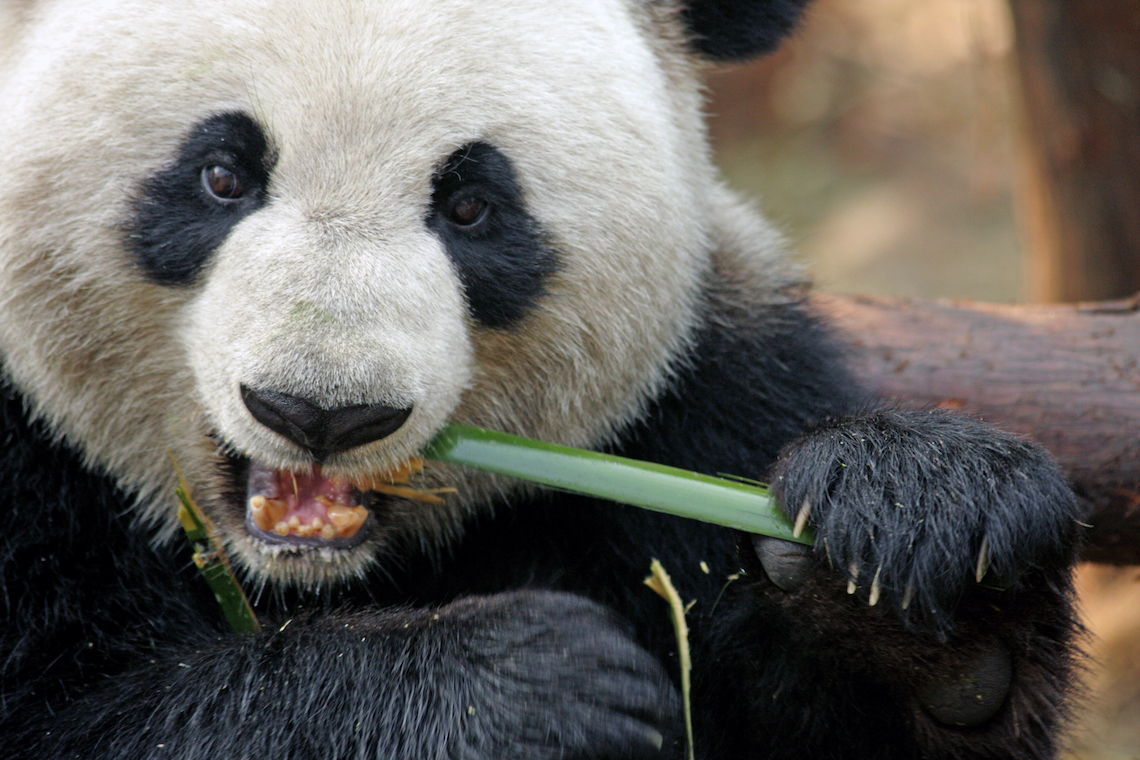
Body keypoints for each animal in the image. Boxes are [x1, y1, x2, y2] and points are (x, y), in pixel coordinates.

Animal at [0, 1, 1080, 758]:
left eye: (473, 204)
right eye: (223, 173)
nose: (320, 413)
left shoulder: (708, 395)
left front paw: (921, 544)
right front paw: (521, 685)